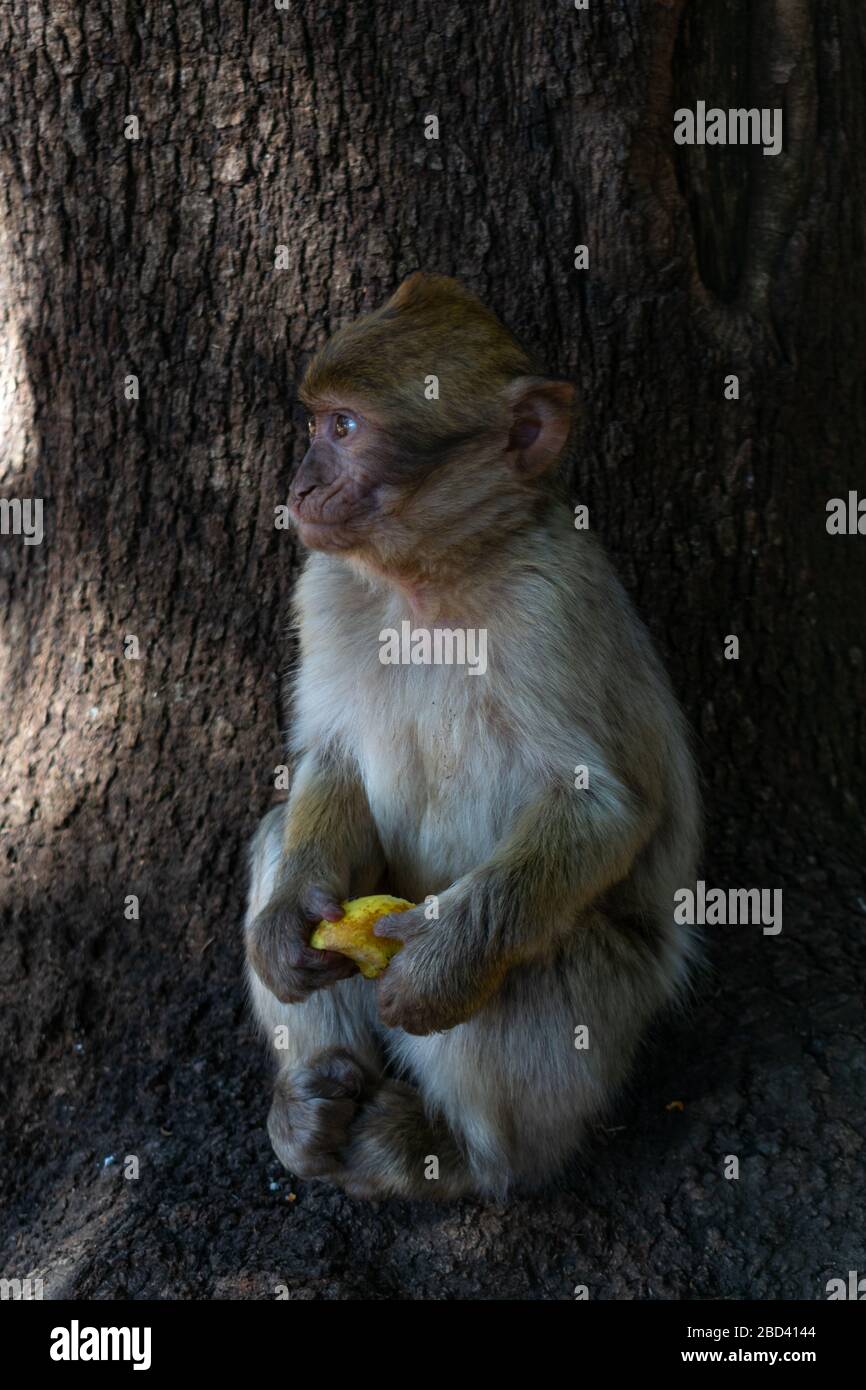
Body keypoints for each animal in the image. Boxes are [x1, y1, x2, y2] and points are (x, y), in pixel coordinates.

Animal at [244, 272, 701, 1200]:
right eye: (315, 423)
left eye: (345, 428)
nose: (300, 486)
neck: (432, 581)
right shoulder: (324, 584)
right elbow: (328, 758)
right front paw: (285, 922)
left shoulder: (549, 604)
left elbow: (597, 808)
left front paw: (440, 968)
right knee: (280, 832)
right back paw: (312, 1103)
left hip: (619, 998)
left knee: (536, 975)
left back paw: (457, 1153)